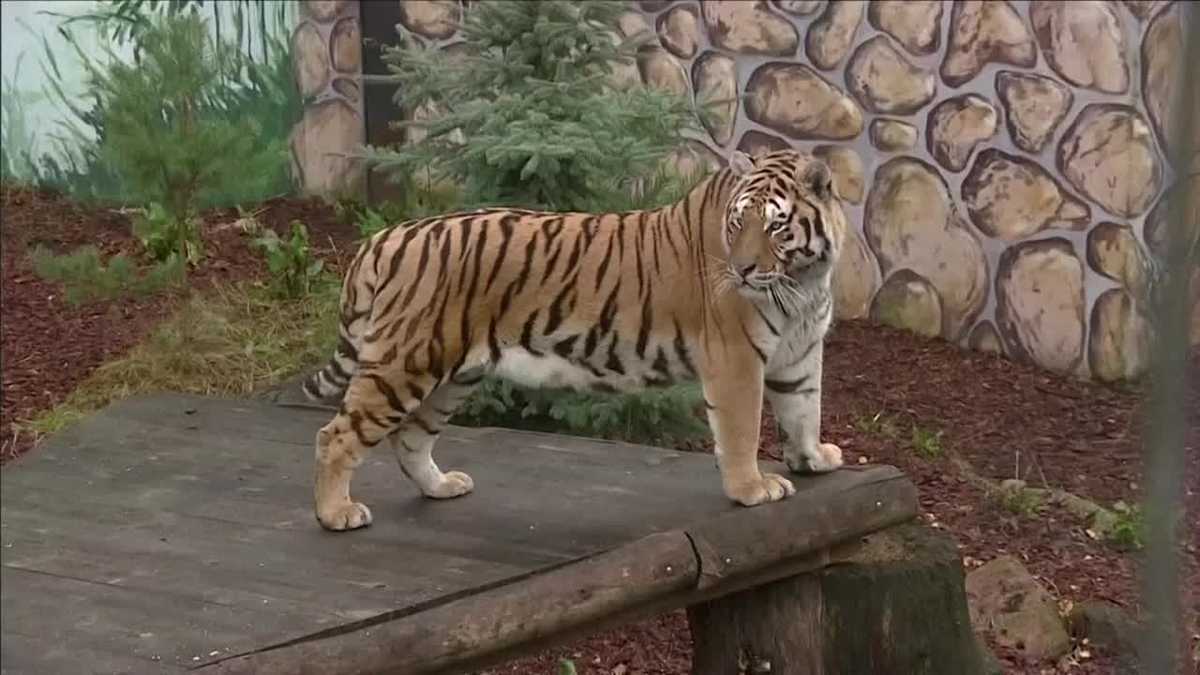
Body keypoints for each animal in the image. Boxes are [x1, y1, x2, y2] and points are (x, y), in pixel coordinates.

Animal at [303, 148, 847, 531]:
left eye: (776, 226)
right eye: (738, 222)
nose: (742, 270)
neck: (804, 280)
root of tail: (384, 238)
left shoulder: (800, 353)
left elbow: (805, 408)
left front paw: (814, 459)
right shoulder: (734, 360)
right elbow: (742, 431)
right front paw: (751, 489)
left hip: (453, 374)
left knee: (411, 436)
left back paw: (440, 486)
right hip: (404, 365)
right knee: (336, 435)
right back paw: (336, 514)